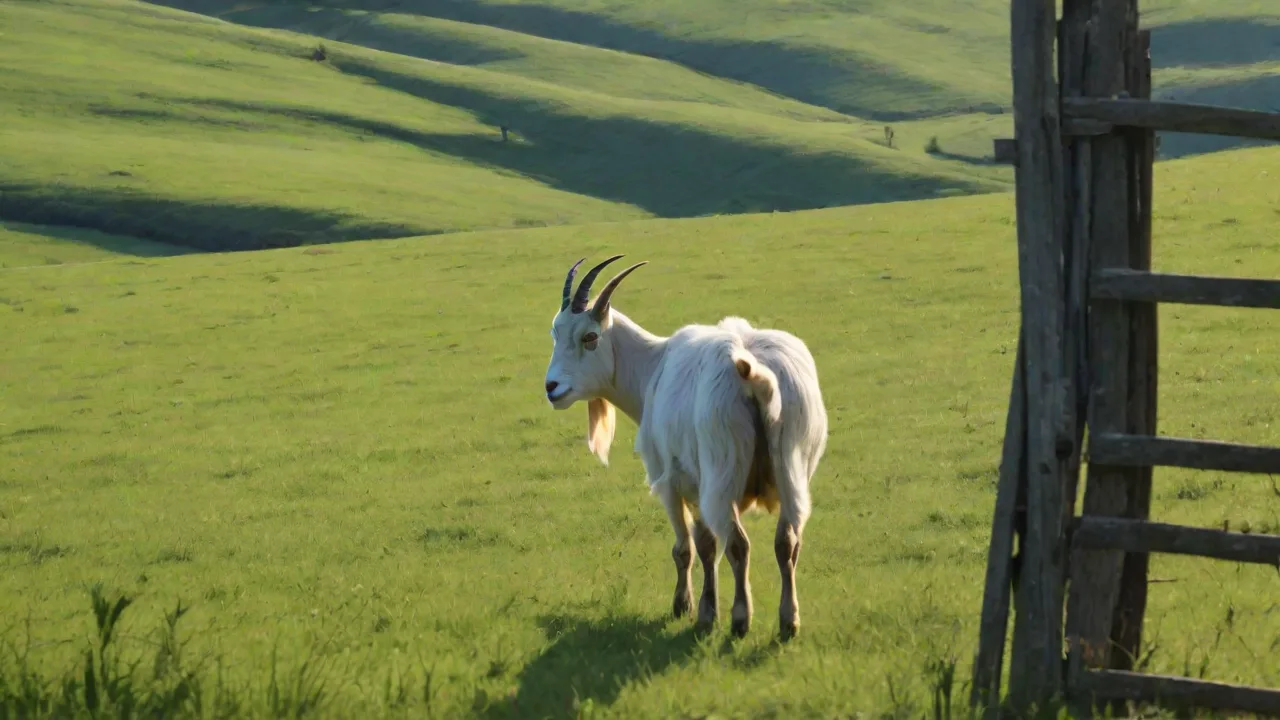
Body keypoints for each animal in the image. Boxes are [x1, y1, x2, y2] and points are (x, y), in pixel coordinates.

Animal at [543, 254, 828, 639]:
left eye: (590, 337)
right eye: (555, 333)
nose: (552, 387)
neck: (653, 367)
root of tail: (755, 374)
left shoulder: (672, 481)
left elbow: (690, 547)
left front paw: (692, 609)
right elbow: (707, 546)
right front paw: (704, 608)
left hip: (722, 473)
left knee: (738, 543)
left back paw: (741, 619)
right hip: (792, 470)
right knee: (786, 541)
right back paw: (788, 621)